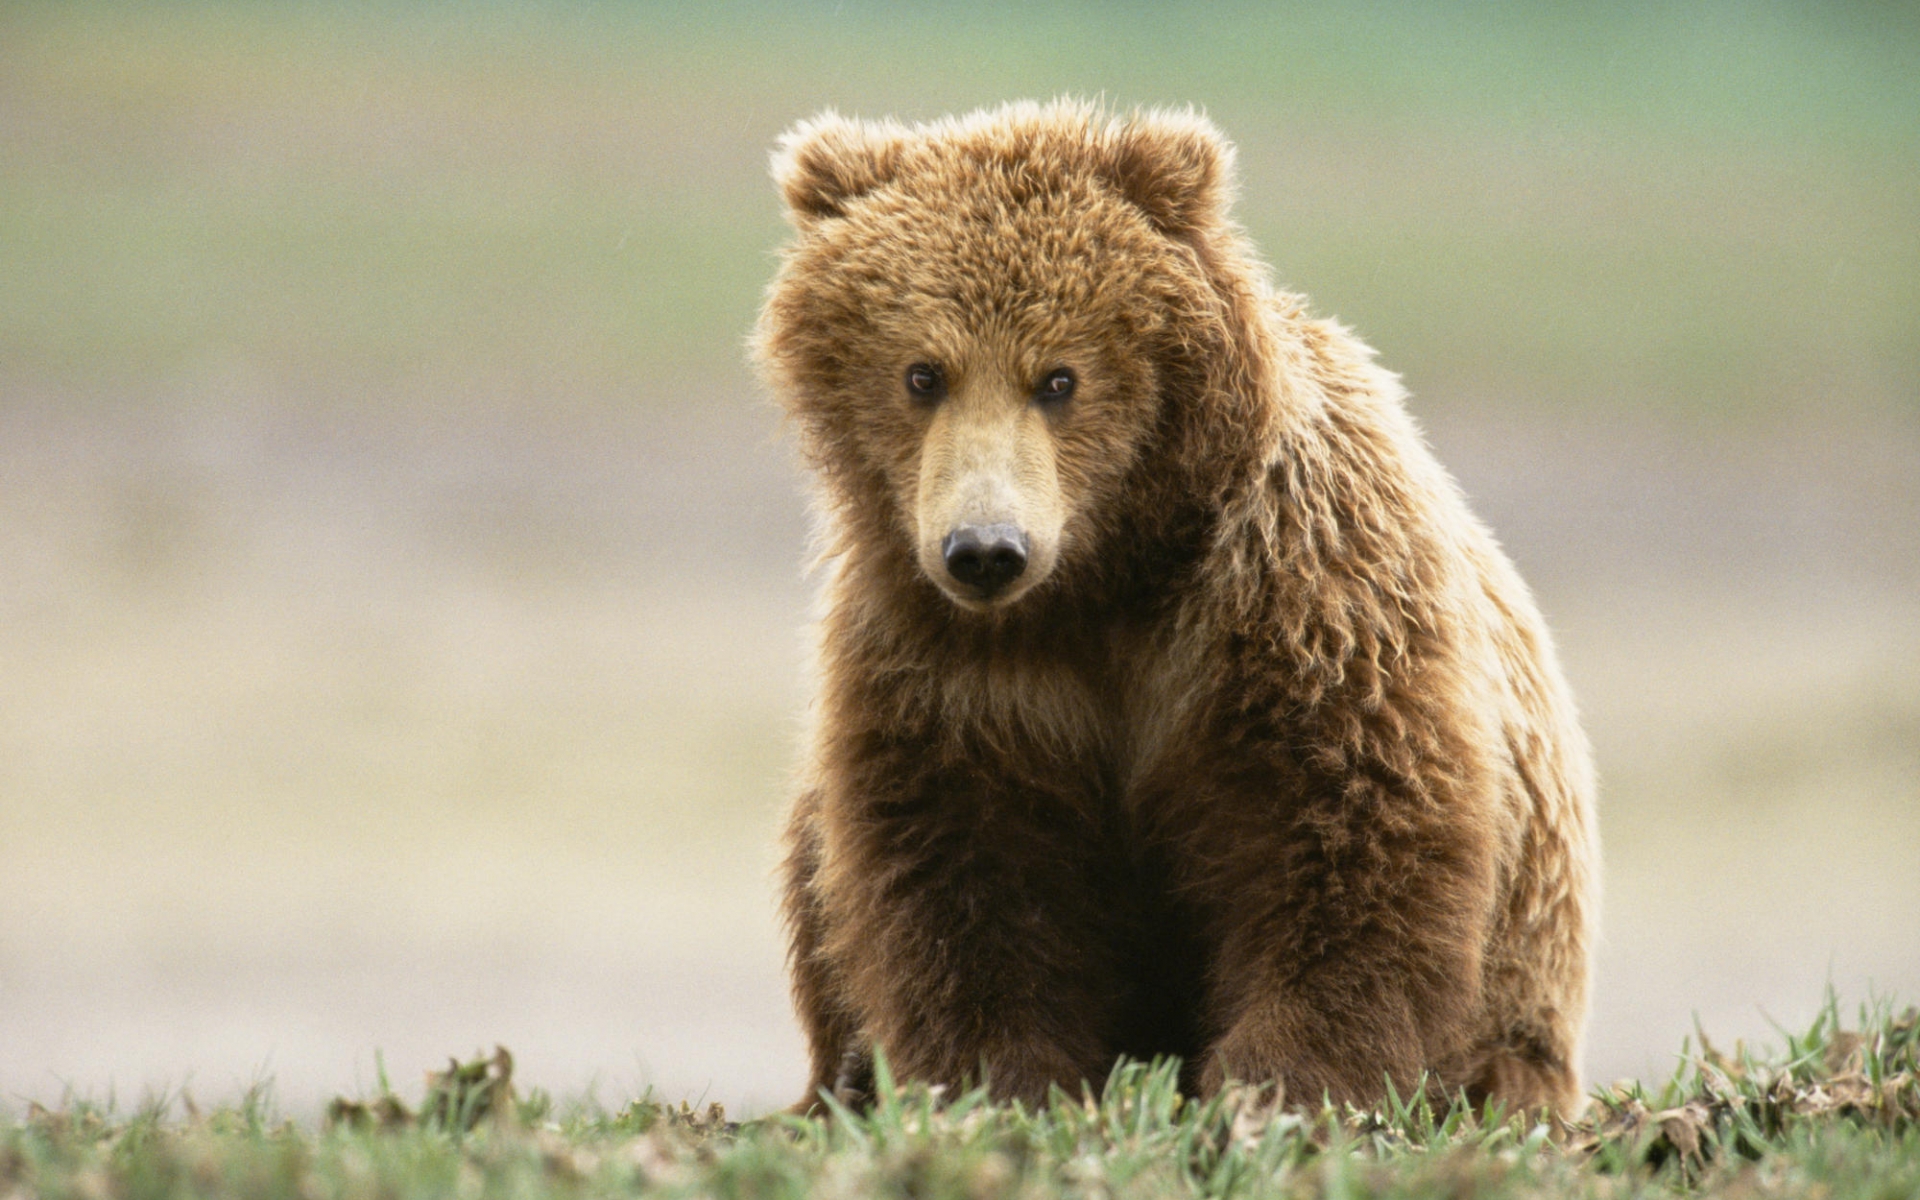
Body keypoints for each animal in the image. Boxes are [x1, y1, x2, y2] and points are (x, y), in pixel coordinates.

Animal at [751, 100, 1598, 1118]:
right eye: (923, 373)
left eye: (1059, 377)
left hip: (1525, 1009)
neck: (1108, 575)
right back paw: (840, 1076)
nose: (986, 549)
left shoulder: (1298, 594)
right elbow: (962, 865)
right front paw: (1002, 1078)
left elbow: (1350, 832)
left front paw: (1280, 1084)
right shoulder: (952, 662)